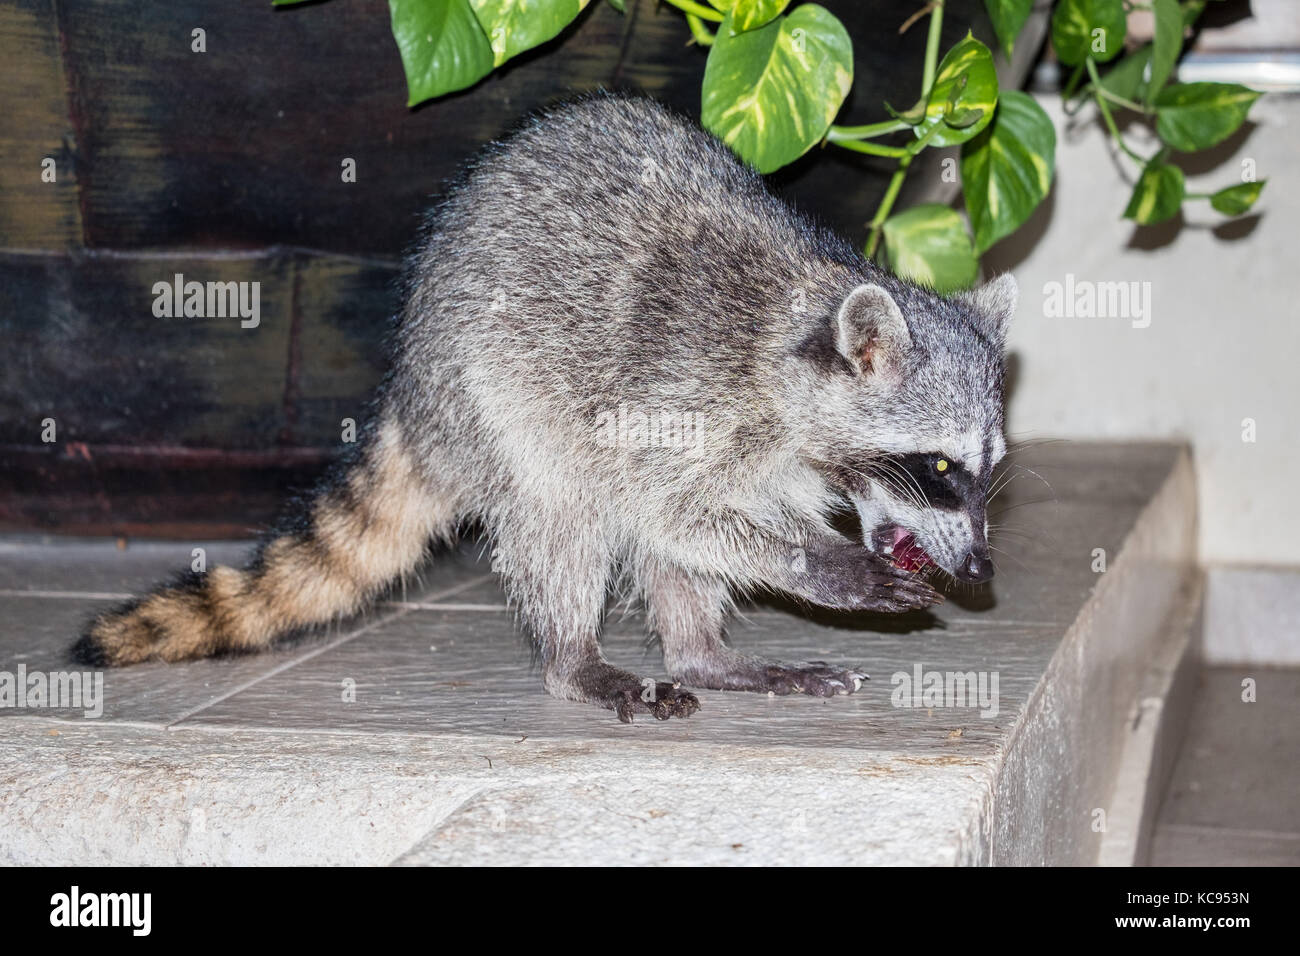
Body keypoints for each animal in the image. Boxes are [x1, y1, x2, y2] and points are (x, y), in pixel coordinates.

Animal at [75, 92, 1017, 722]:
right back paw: (579, 660)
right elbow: (674, 511)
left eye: (983, 471)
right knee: (563, 516)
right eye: (938, 467)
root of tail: (414, 384)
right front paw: (819, 563)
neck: (800, 326)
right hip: (497, 396)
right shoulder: (680, 398)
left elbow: (698, 530)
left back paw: (702, 657)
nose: (979, 570)